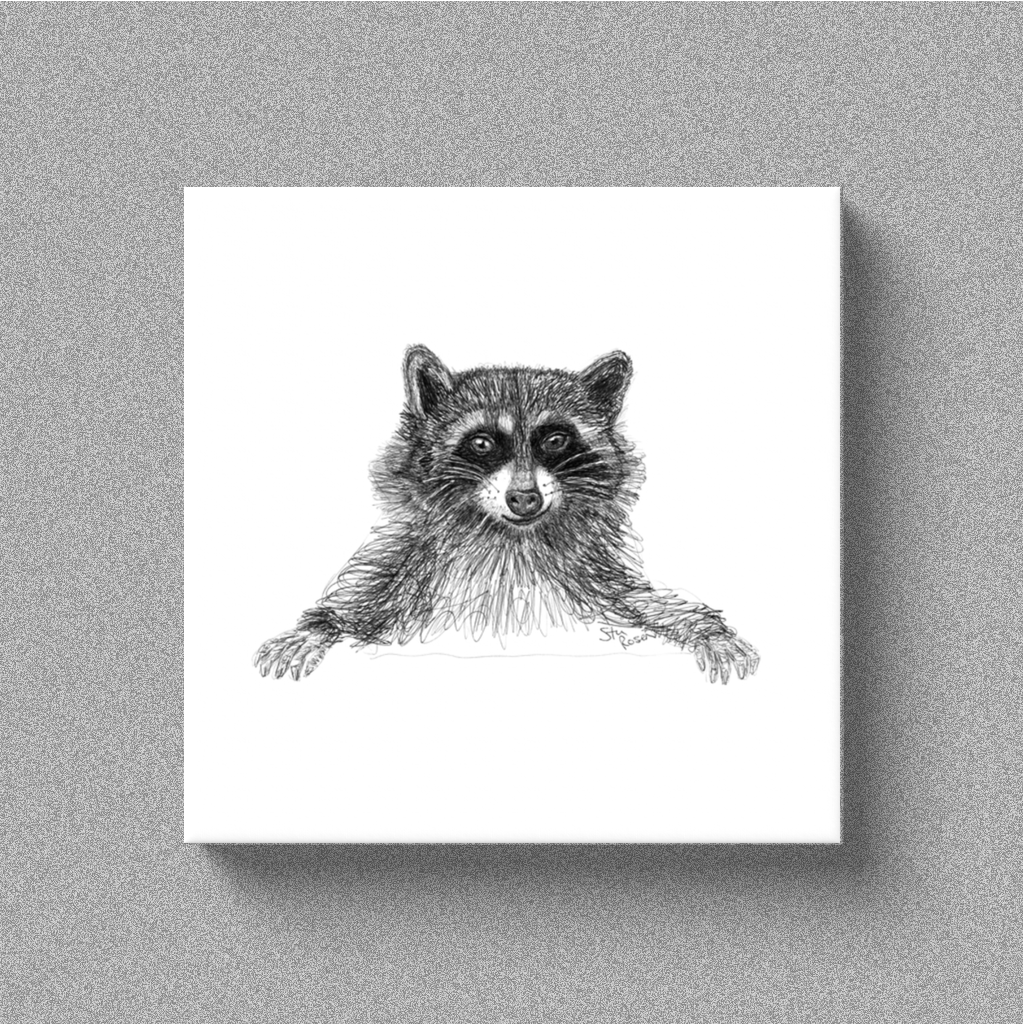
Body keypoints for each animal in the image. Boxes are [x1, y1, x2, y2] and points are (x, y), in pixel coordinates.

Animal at [254, 346, 759, 683]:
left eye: (555, 440)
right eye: (481, 442)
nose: (524, 499)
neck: (508, 543)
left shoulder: (601, 590)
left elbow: (644, 604)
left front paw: (706, 629)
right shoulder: (407, 581)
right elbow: (361, 606)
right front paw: (318, 626)